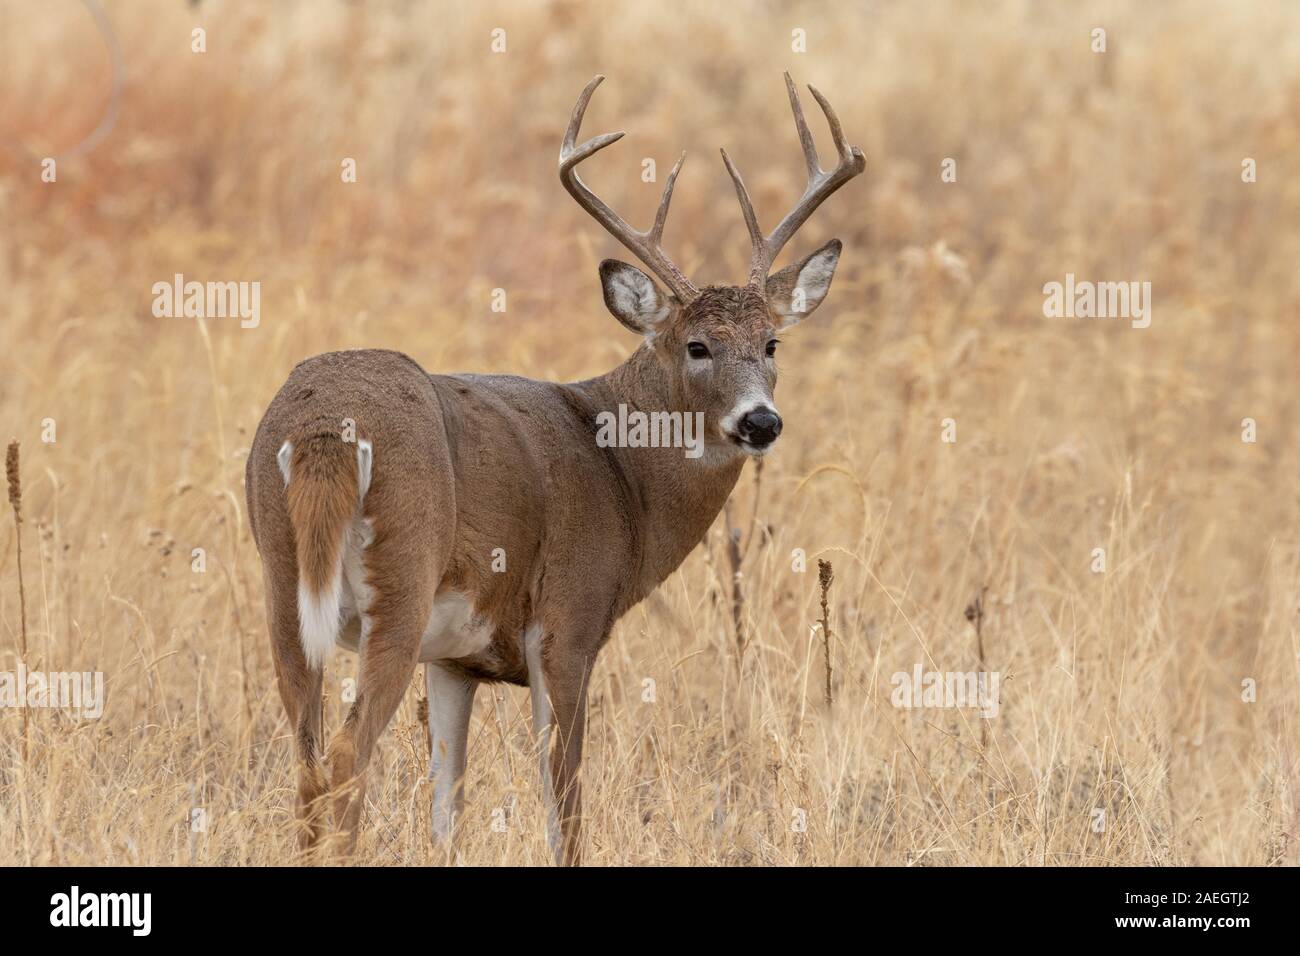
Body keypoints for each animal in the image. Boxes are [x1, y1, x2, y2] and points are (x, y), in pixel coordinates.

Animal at [244, 73, 864, 865]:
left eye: (773, 344)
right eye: (696, 345)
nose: (761, 421)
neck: (621, 472)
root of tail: (324, 430)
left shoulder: (453, 660)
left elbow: (447, 812)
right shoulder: (568, 622)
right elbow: (565, 810)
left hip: (281, 580)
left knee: (306, 758)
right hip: (403, 574)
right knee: (349, 755)